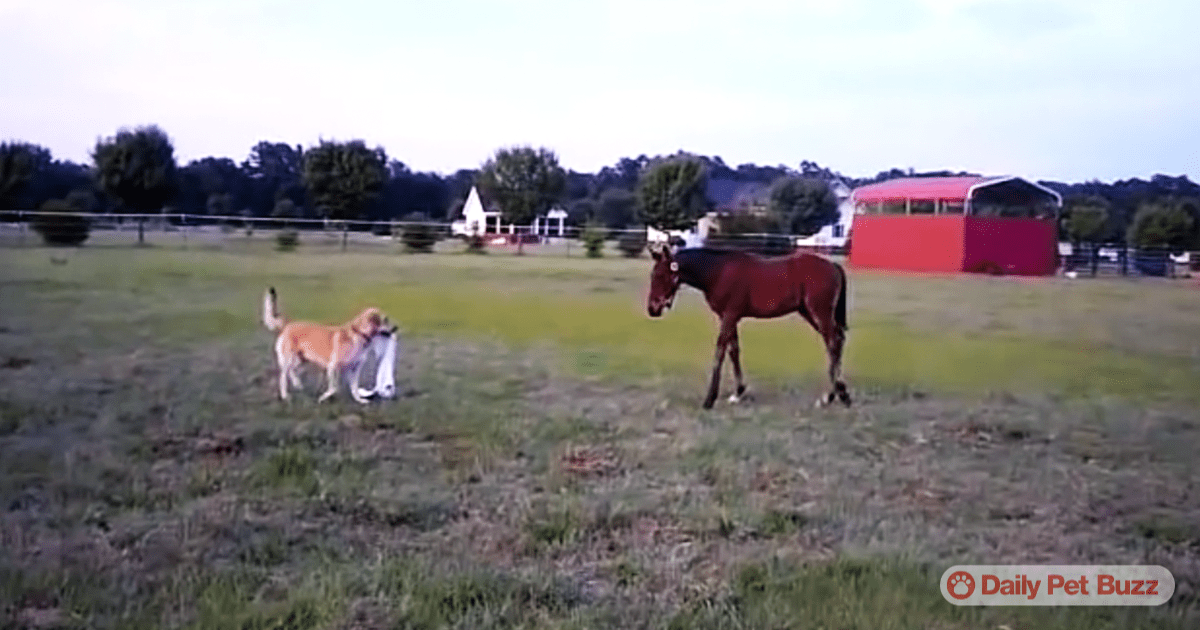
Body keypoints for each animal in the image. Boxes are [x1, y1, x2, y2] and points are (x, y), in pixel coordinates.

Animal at [645, 243, 852, 410]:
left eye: (661, 275)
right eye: (652, 275)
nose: (652, 309)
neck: (719, 272)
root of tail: (833, 265)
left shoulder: (729, 316)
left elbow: (720, 352)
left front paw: (710, 399)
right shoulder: (729, 318)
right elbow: (734, 350)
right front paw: (738, 392)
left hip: (820, 313)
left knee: (833, 342)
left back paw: (835, 395)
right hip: (808, 312)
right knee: (838, 339)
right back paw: (836, 394)